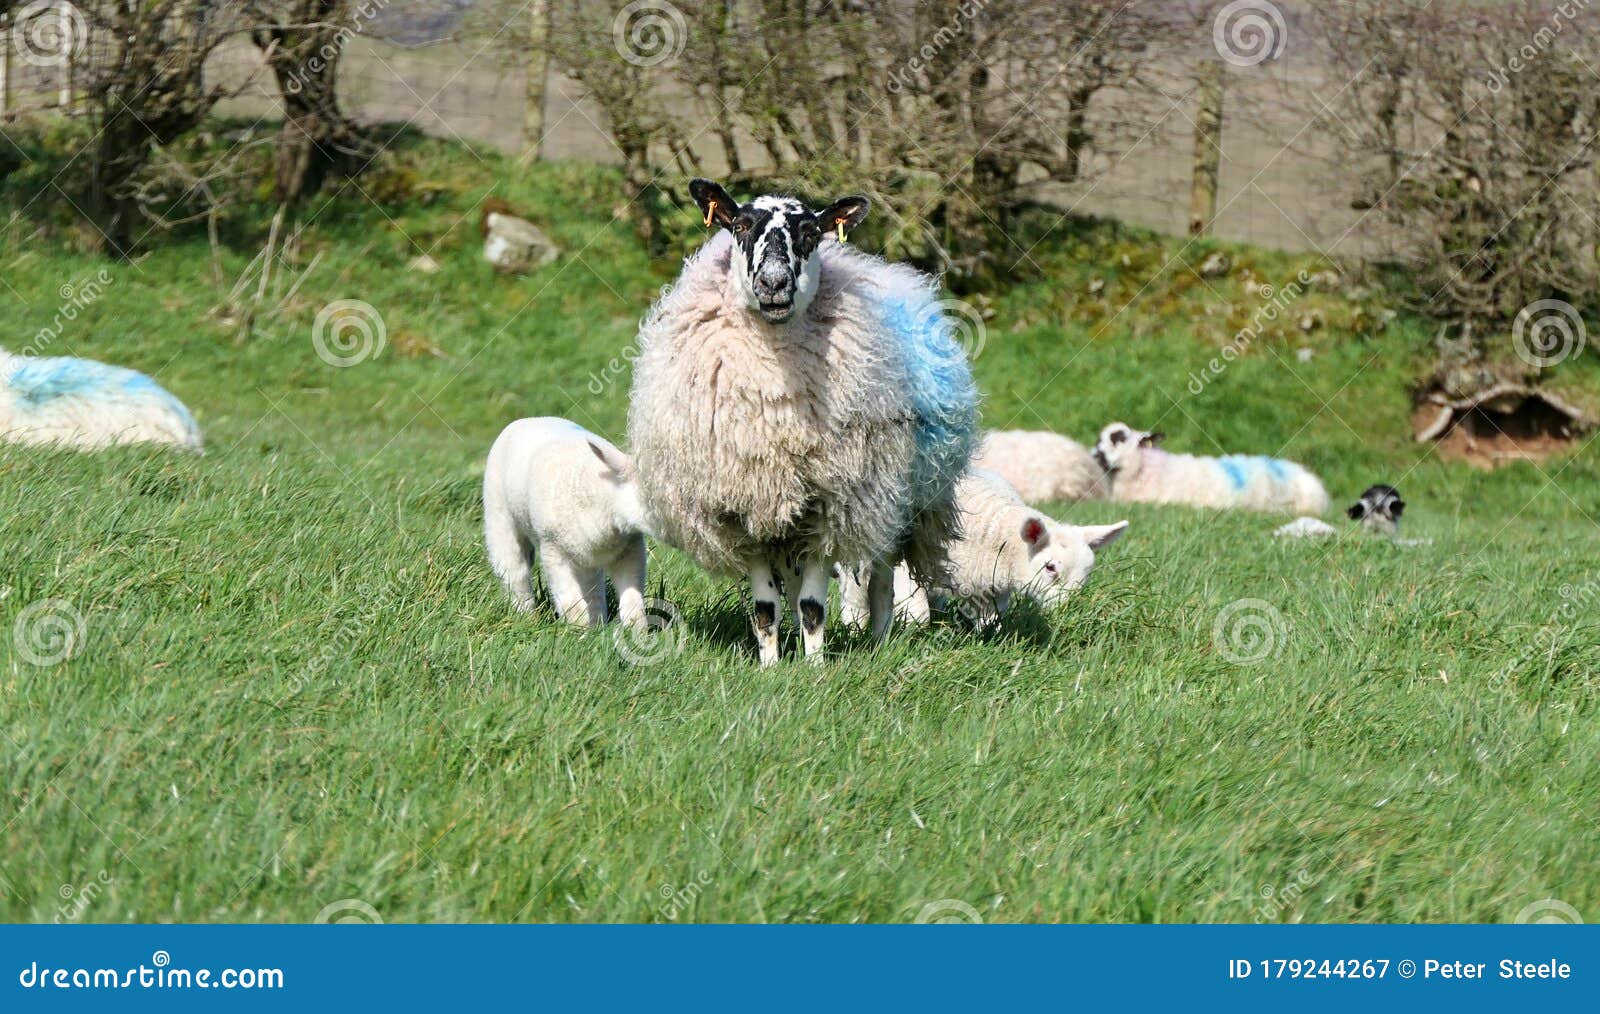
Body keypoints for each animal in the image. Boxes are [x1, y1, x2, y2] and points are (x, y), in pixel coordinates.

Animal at [483, 417, 647, 630]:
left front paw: (638, 633)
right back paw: (527, 616)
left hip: (585, 557)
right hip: (499, 518)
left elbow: (633, 605)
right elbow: (573, 606)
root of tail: (530, 419)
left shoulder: (631, 550)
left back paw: (597, 626)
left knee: (593, 588)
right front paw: (577, 633)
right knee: (514, 572)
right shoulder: (554, 550)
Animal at [627, 179, 979, 666]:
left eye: (811, 231)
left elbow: (815, 605)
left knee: (882, 579)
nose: (773, 283)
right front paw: (772, 665)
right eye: (739, 225)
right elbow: (765, 608)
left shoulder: (831, 506)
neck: (775, 394)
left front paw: (814, 669)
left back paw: (879, 641)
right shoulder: (746, 509)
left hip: (895, 501)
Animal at [839, 469, 1128, 628]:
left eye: (1086, 575)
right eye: (1050, 567)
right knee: (854, 594)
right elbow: (918, 614)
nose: (1069, 609)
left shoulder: (992, 588)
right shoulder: (906, 565)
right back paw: (854, 625)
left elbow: (991, 623)